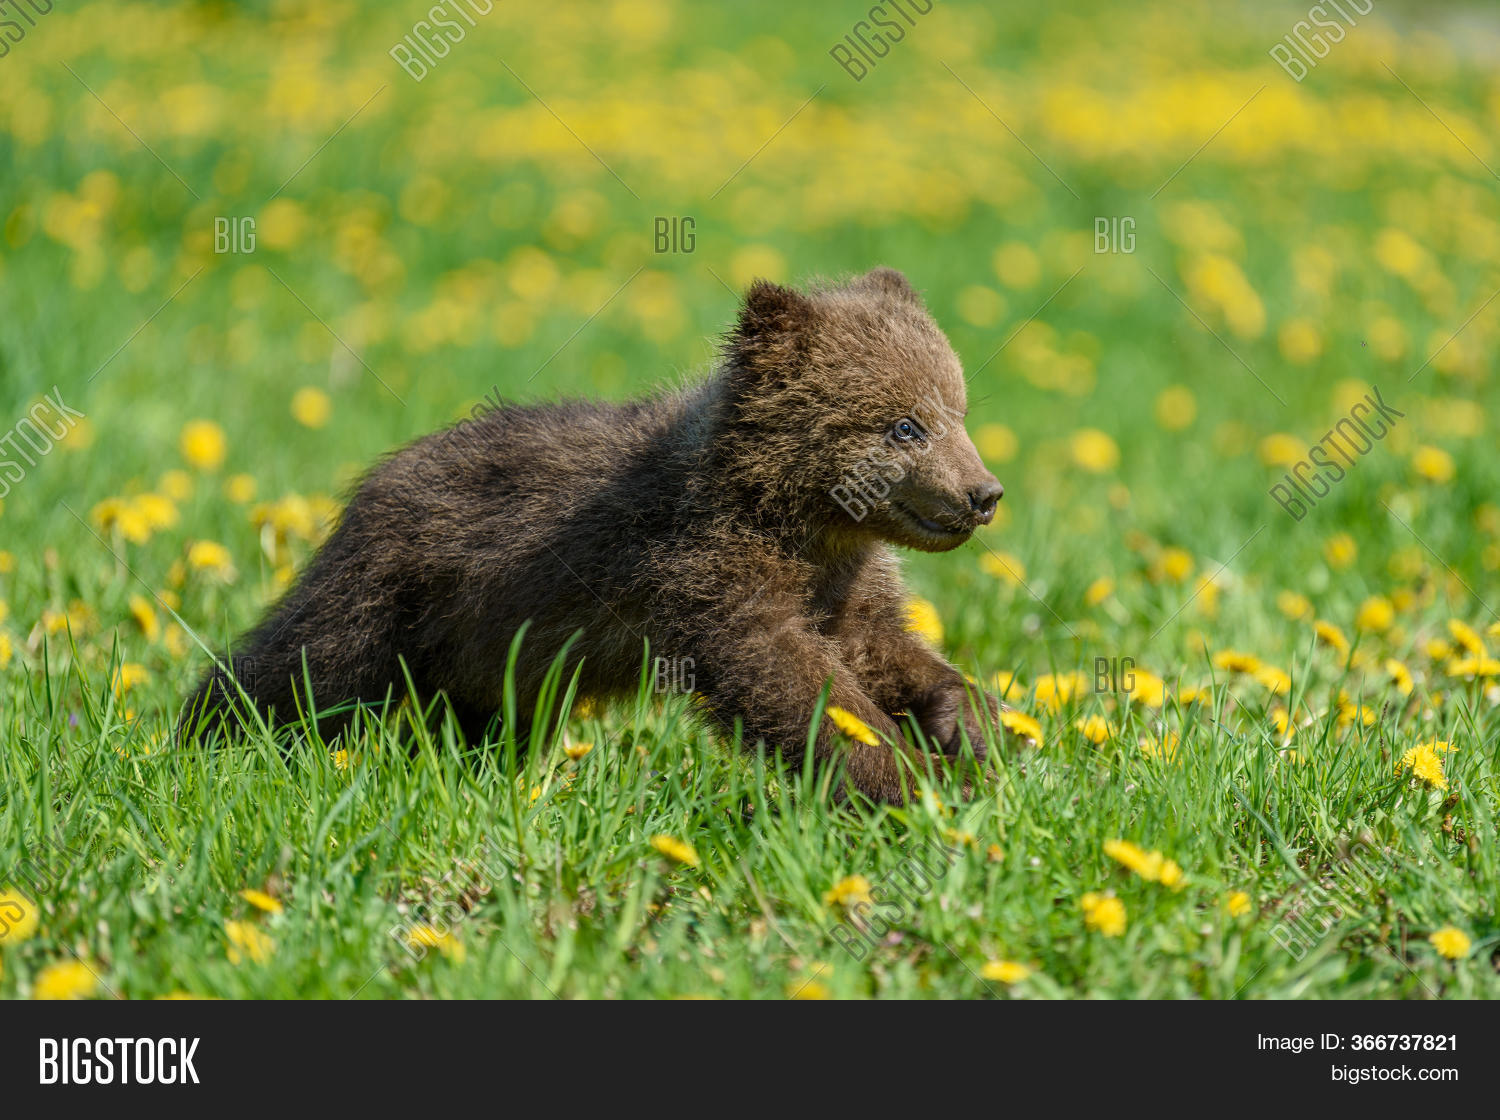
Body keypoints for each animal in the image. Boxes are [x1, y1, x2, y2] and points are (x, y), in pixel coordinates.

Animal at [180, 267, 1005, 803]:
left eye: (959, 408)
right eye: (906, 424)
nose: (983, 493)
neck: (797, 518)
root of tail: (375, 478)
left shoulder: (846, 579)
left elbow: (886, 646)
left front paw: (971, 726)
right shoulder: (706, 570)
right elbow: (791, 680)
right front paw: (908, 777)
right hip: (389, 591)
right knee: (301, 666)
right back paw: (204, 741)